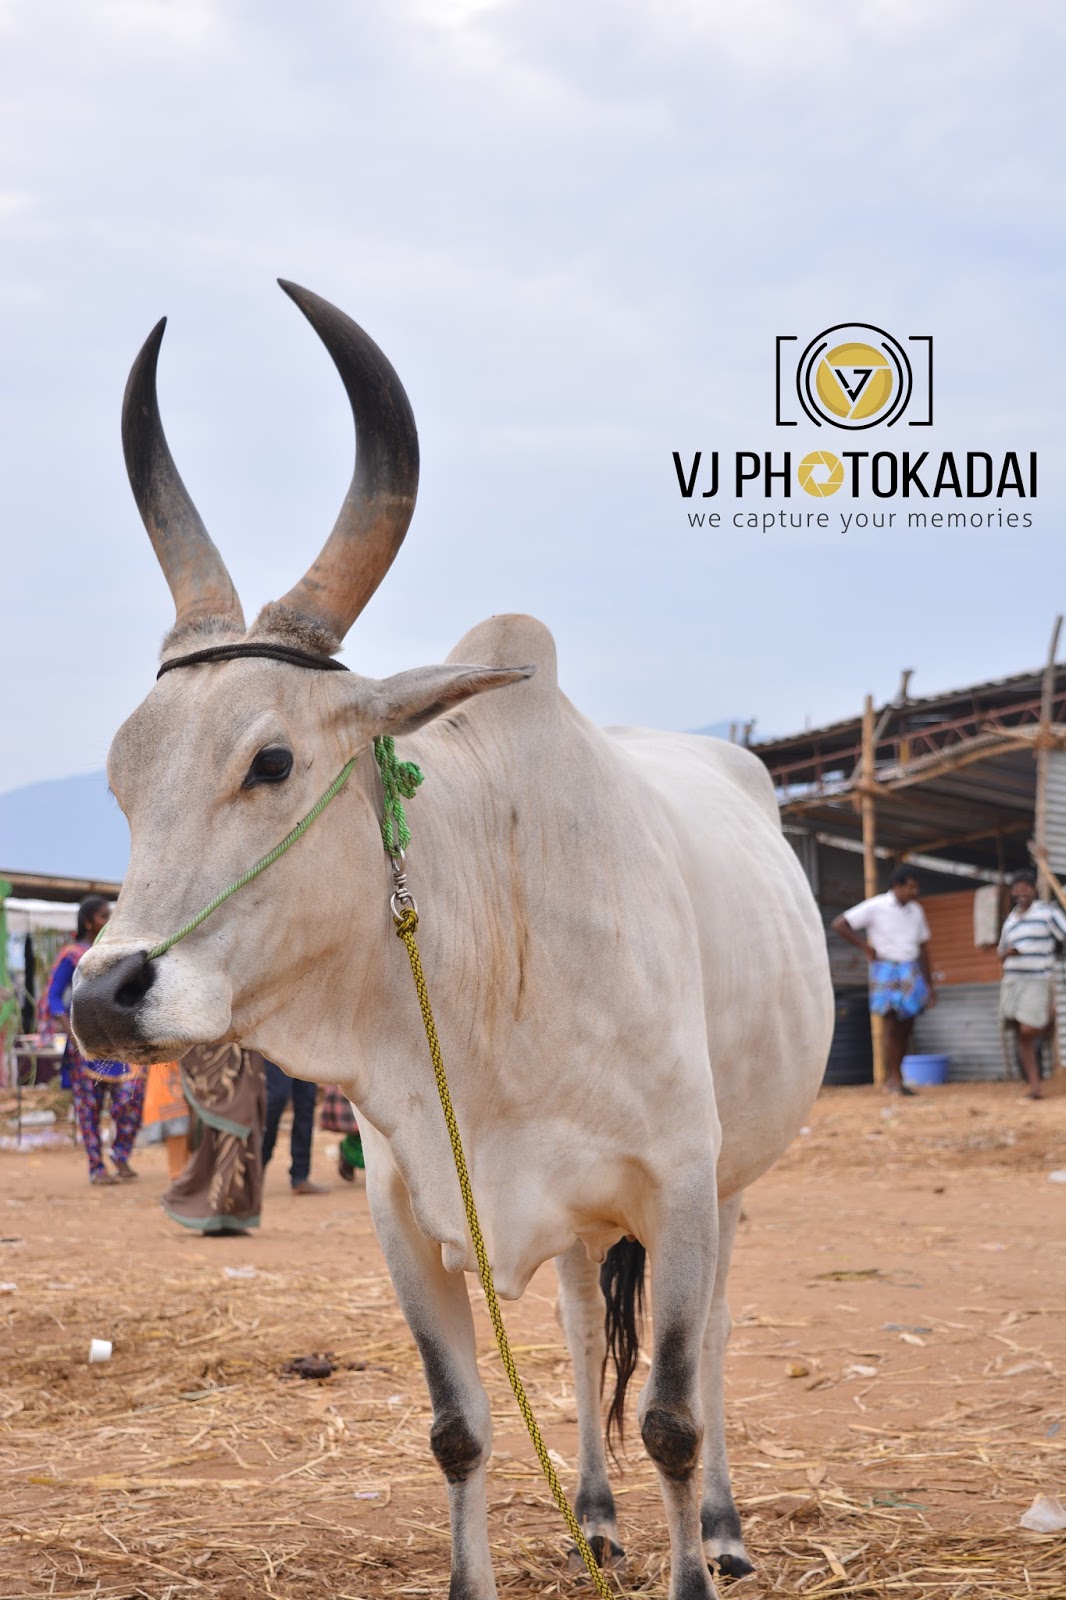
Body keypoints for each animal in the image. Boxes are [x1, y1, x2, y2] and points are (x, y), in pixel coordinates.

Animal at [73, 282, 834, 1600]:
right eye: (121, 775)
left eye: (271, 760)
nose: (102, 993)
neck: (494, 958)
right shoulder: (406, 1212)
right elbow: (460, 1427)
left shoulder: (683, 1186)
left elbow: (673, 1417)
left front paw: (695, 1551)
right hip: (593, 1225)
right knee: (579, 1322)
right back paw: (594, 1514)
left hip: (734, 1180)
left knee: (715, 1347)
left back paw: (726, 1529)